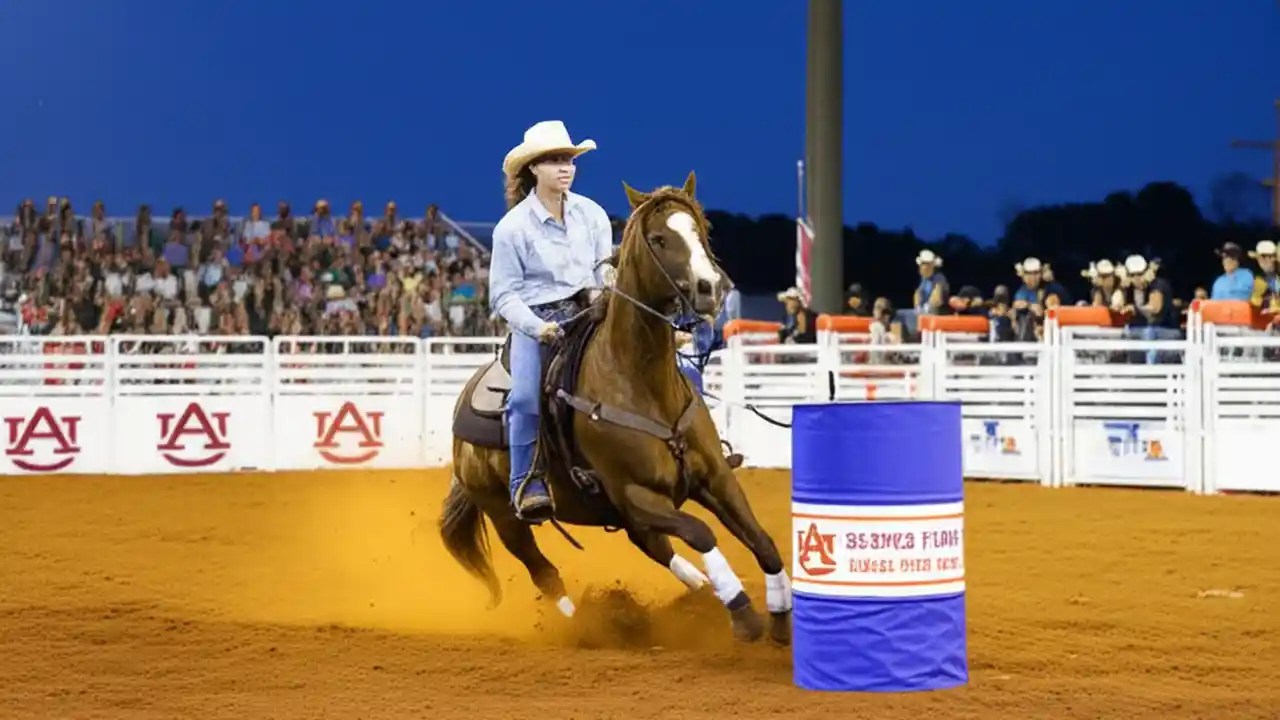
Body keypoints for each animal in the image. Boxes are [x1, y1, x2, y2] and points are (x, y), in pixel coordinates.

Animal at [441, 172, 792, 644]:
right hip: (504, 516)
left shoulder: (714, 479)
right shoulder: (635, 494)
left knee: (652, 546)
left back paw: (697, 587)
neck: (641, 383)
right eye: (660, 239)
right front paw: (742, 612)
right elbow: (701, 532)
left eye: (701, 230)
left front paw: (780, 615)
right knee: (543, 571)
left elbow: (761, 539)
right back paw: (580, 623)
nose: (712, 288)